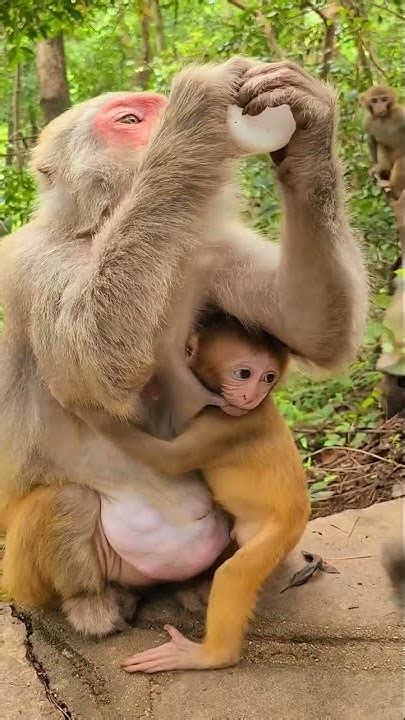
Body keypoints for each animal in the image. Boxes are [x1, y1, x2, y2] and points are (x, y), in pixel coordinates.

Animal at [72, 315, 310, 671]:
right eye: (245, 373)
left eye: (268, 377)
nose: (253, 394)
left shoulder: (226, 425)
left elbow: (169, 460)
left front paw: (88, 411)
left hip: (280, 532)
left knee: (233, 575)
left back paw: (208, 655)